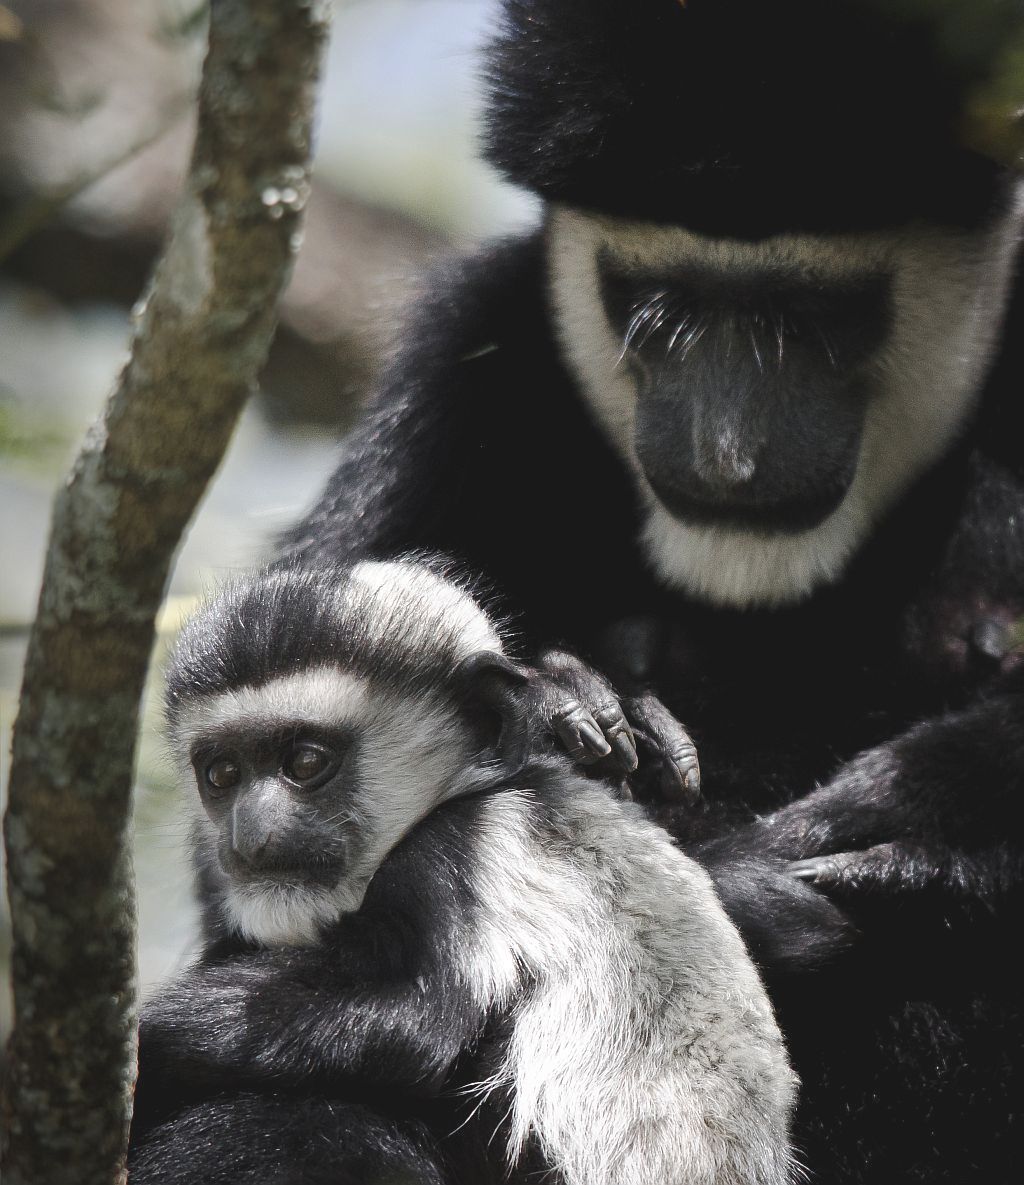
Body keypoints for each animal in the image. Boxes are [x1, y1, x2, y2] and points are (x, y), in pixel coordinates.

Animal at [129, 557, 798, 1185]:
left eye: (306, 763)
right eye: (222, 775)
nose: (251, 834)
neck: (468, 789)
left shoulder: (459, 855)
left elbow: (413, 1025)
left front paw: (145, 1037)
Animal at [272, 2, 1024, 1178]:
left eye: (818, 315)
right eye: (656, 309)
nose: (727, 455)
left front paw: (913, 807)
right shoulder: (464, 362)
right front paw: (570, 706)